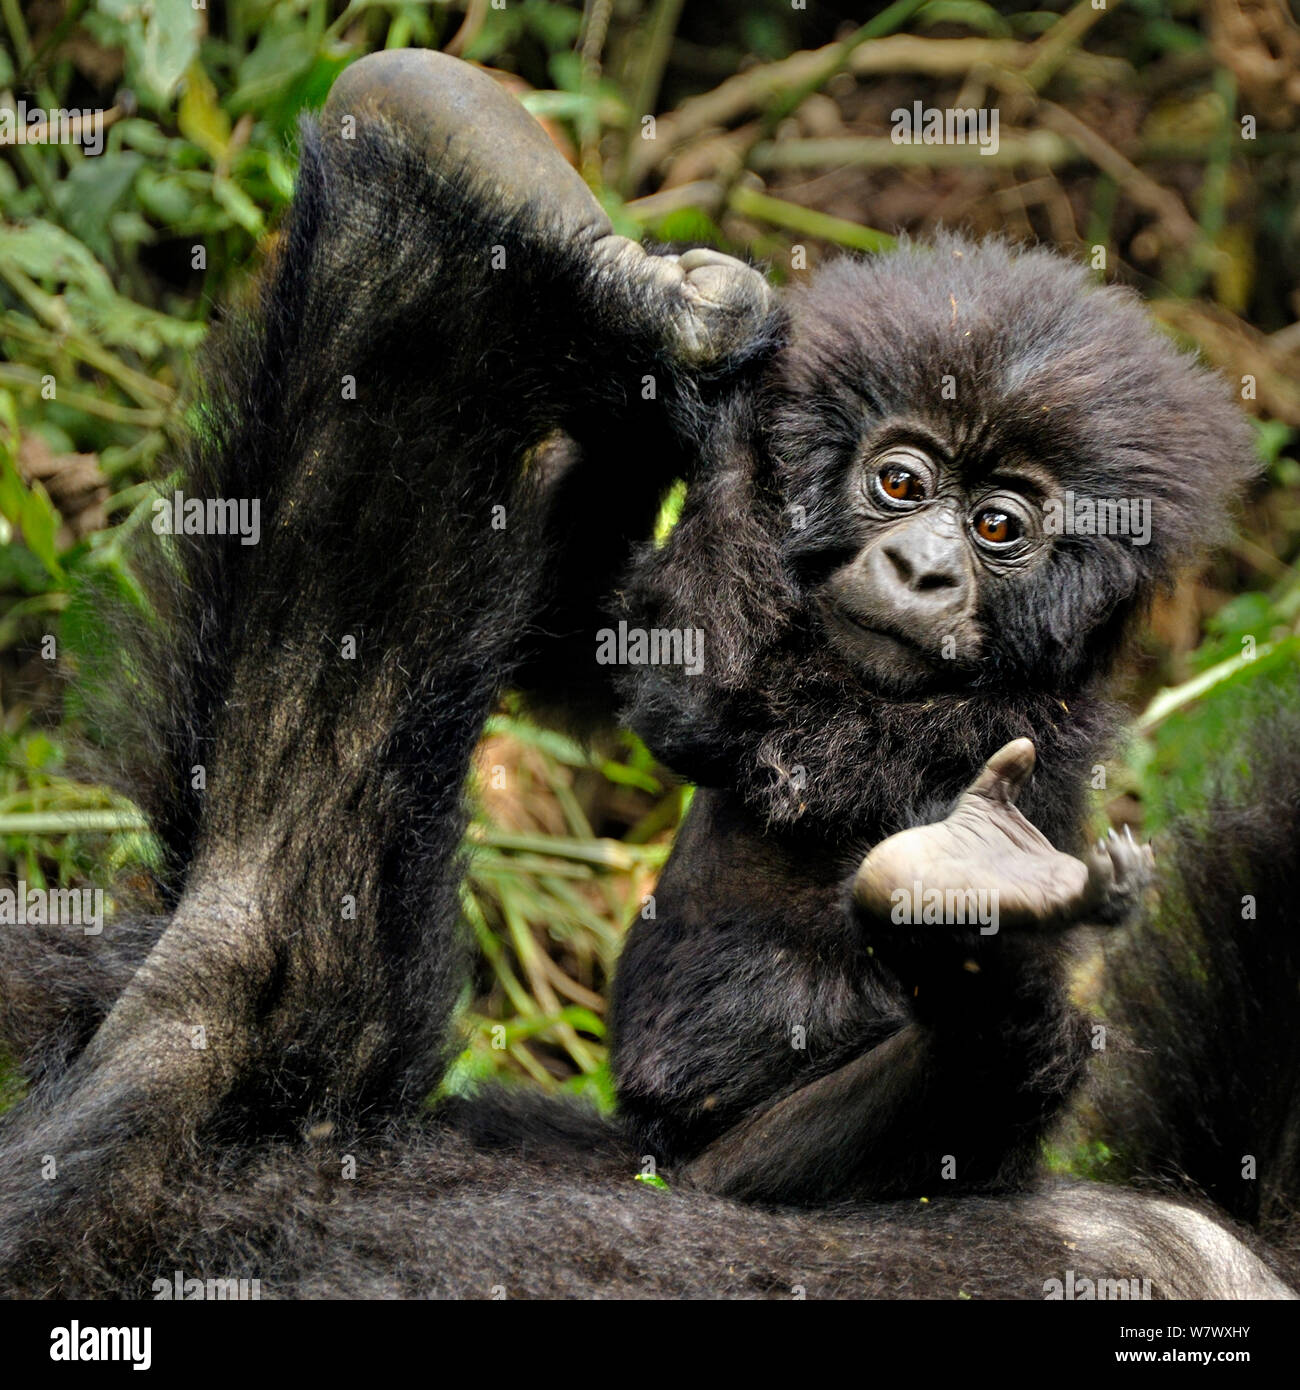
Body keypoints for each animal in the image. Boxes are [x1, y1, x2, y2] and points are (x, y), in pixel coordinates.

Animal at [0, 49, 1294, 1300]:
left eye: (999, 527)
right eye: (902, 483)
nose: (920, 567)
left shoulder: (978, 715)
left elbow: (727, 708)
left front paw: (722, 429)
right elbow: (591, 651)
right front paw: (673, 356)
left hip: (752, 1175)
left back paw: (964, 908)